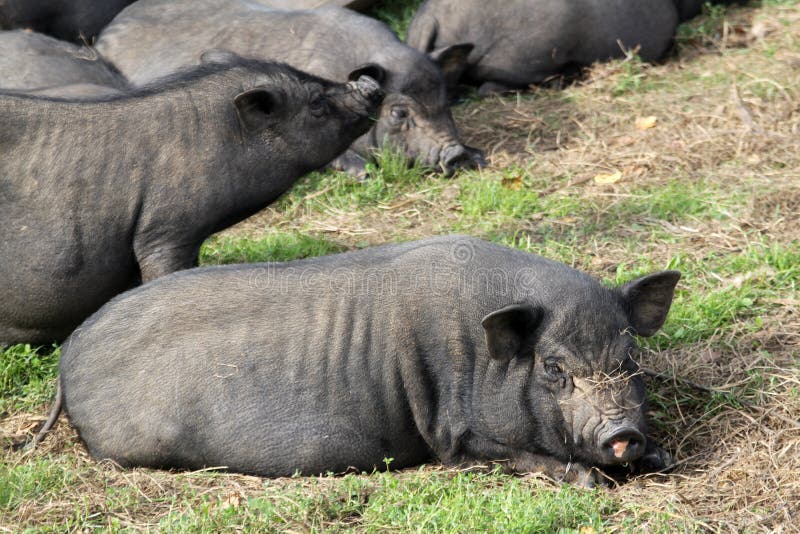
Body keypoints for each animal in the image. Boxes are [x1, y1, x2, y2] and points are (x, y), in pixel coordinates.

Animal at [46, 236, 679, 486]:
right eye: (554, 369)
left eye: (630, 354)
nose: (622, 433)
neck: (478, 354)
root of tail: (70, 352)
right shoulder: (453, 435)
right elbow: (512, 455)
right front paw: (589, 481)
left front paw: (662, 459)